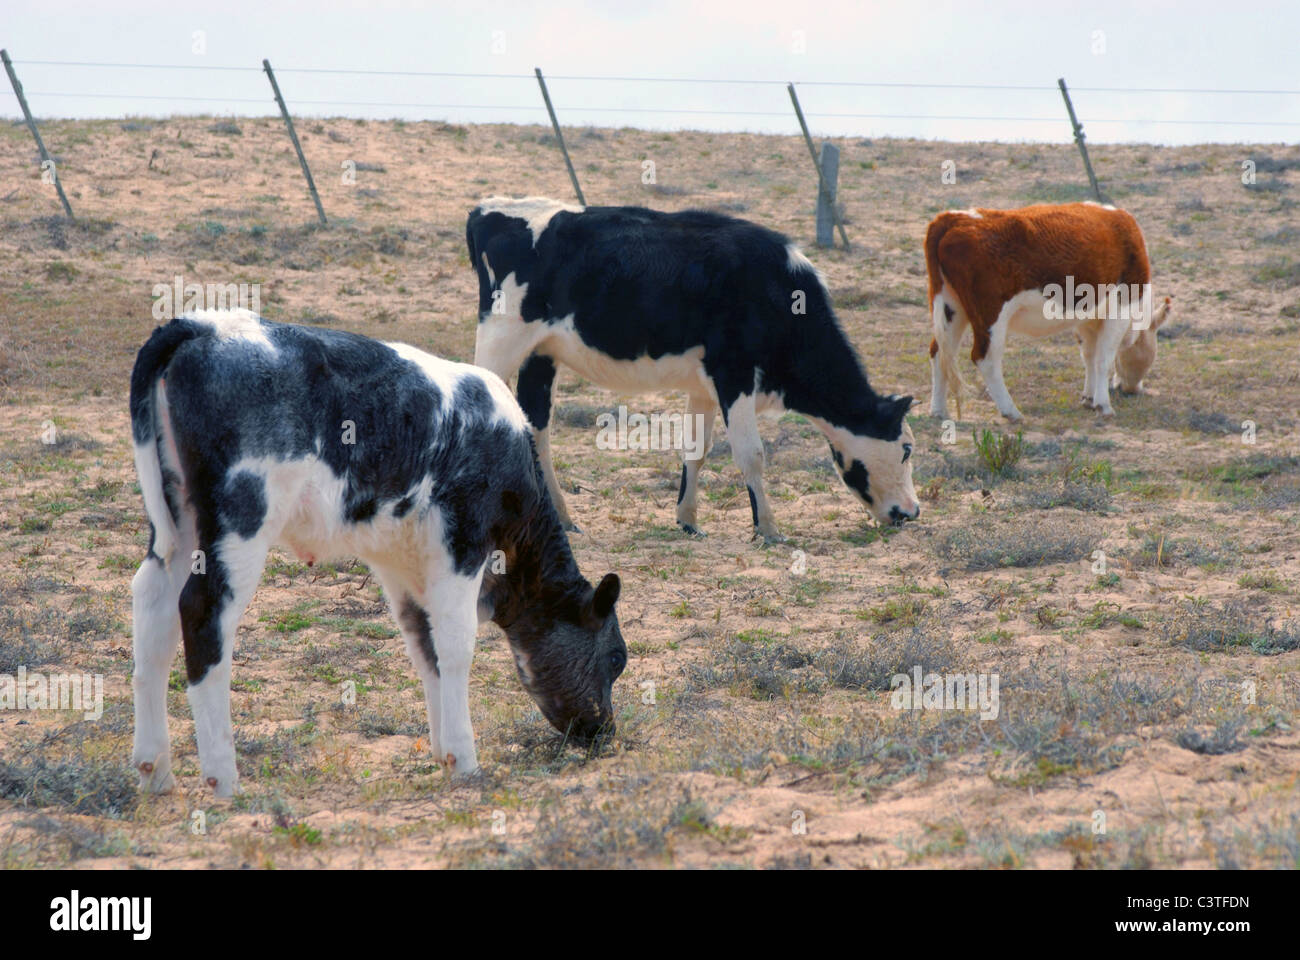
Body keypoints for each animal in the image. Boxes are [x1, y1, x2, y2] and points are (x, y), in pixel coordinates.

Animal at [129, 309, 625, 795]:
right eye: (617, 658)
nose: (604, 732)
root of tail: (204, 325)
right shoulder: (463, 545)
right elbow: (456, 645)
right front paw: (465, 762)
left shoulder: (403, 564)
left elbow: (425, 646)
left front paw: (444, 753)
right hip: (240, 520)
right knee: (204, 613)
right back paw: (224, 777)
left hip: (180, 523)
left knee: (153, 607)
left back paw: (156, 771)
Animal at [466, 197, 920, 544]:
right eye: (907, 449)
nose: (913, 512)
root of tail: (489, 209)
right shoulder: (735, 374)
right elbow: (751, 453)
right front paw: (769, 530)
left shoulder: (704, 386)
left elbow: (697, 449)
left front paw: (688, 520)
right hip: (501, 339)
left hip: (540, 354)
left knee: (536, 429)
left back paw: (560, 518)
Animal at [925, 202, 1172, 422]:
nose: (1133, 389)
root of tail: (954, 218)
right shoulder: (1120, 308)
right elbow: (1103, 359)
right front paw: (1103, 405)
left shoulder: (1087, 317)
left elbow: (1089, 356)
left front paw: (1089, 398)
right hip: (991, 316)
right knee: (985, 358)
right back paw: (1011, 411)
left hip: (951, 309)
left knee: (940, 352)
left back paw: (939, 410)